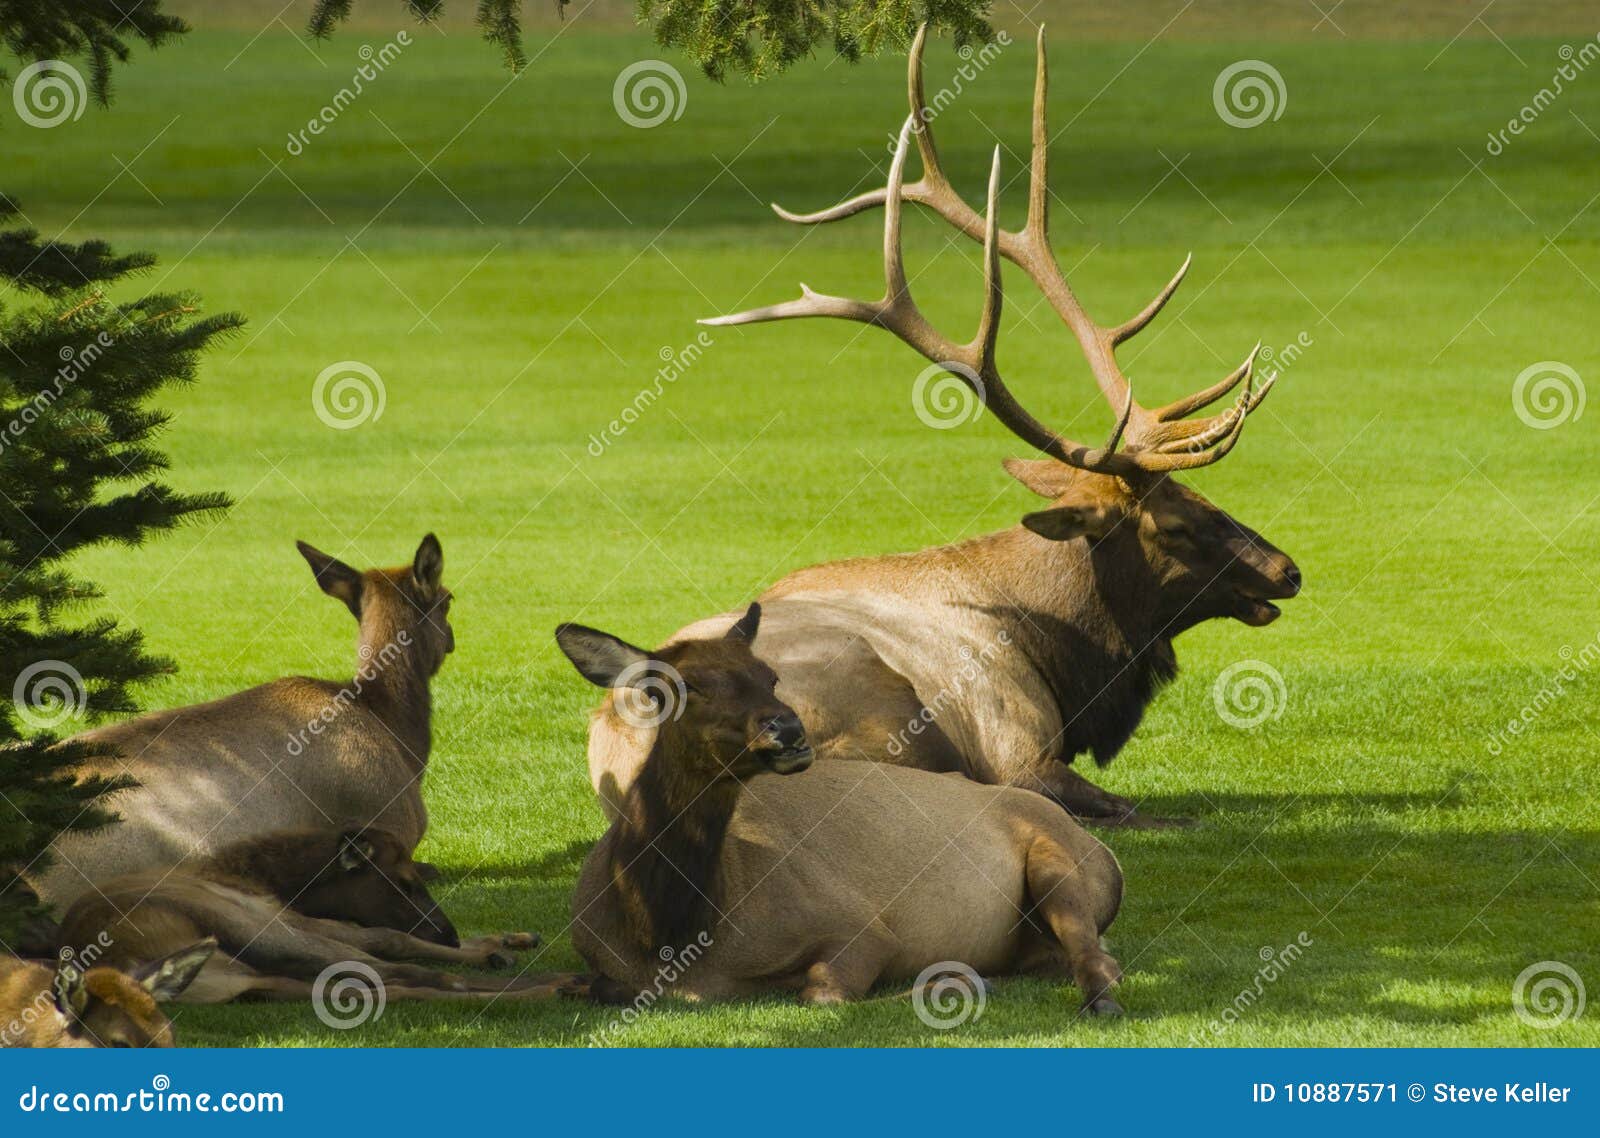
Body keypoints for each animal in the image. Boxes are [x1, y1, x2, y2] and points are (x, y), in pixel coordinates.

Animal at [54, 825, 571, 1004]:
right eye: (403, 882)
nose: (448, 932)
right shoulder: (291, 918)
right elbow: (390, 936)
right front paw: (494, 948)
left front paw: (509, 939)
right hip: (263, 934)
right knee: (408, 973)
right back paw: (555, 985)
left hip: (250, 976)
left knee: (383, 988)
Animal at [559, 604, 1125, 1015]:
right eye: (681, 686)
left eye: (769, 675)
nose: (788, 731)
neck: (665, 934)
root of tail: (1108, 857)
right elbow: (589, 986)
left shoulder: (858, 925)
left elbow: (823, 996)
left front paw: (950, 982)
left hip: (1062, 859)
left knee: (1097, 956)